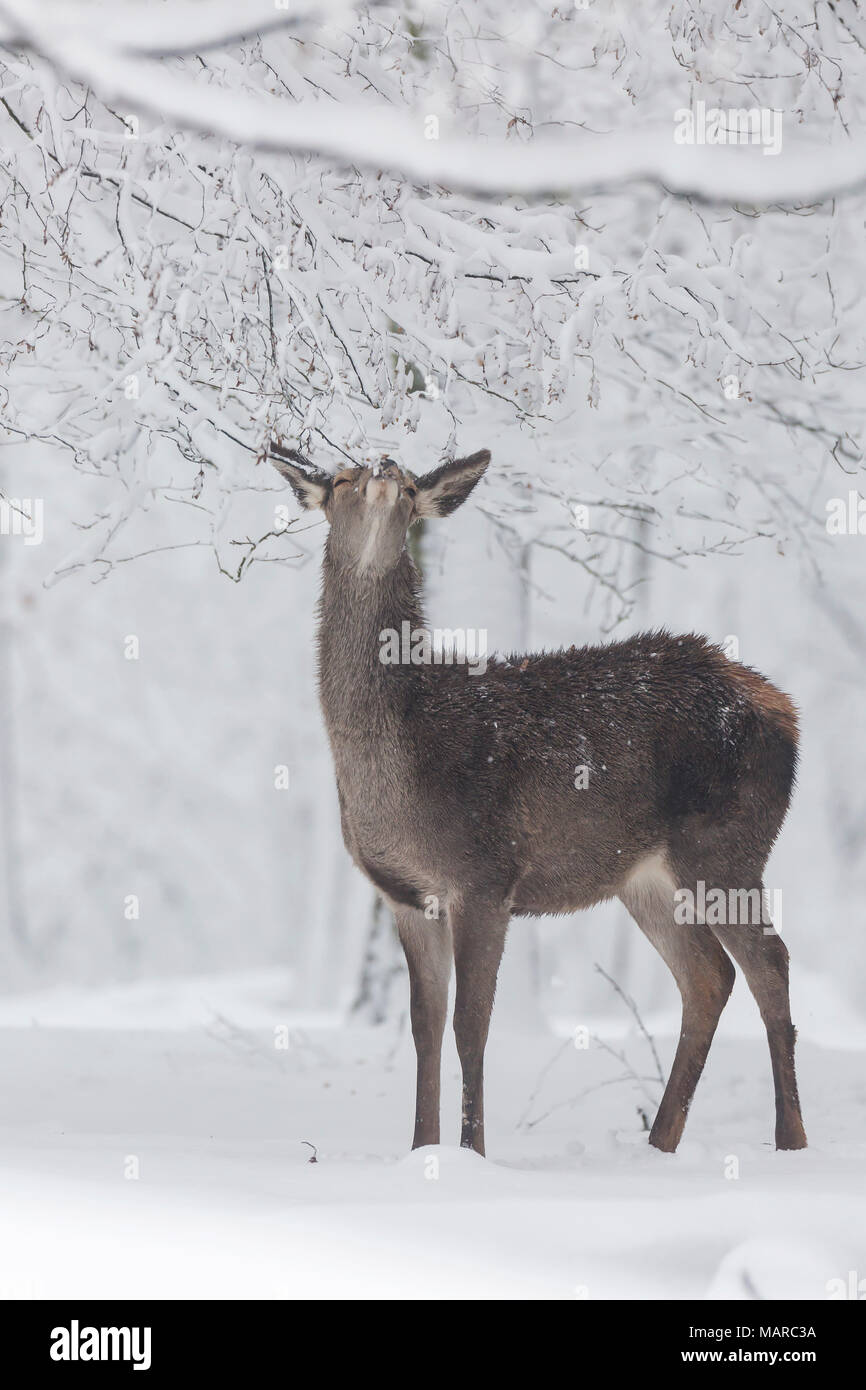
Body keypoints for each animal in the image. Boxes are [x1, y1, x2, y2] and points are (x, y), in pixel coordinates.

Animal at [271, 443, 807, 1158]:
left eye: (411, 487)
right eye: (339, 480)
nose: (385, 467)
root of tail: (786, 712)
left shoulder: (485, 874)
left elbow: (471, 1025)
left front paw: (473, 1153)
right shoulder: (406, 895)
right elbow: (423, 1027)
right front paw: (420, 1151)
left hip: (728, 845)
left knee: (769, 964)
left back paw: (789, 1140)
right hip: (647, 878)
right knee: (707, 976)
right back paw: (659, 1143)